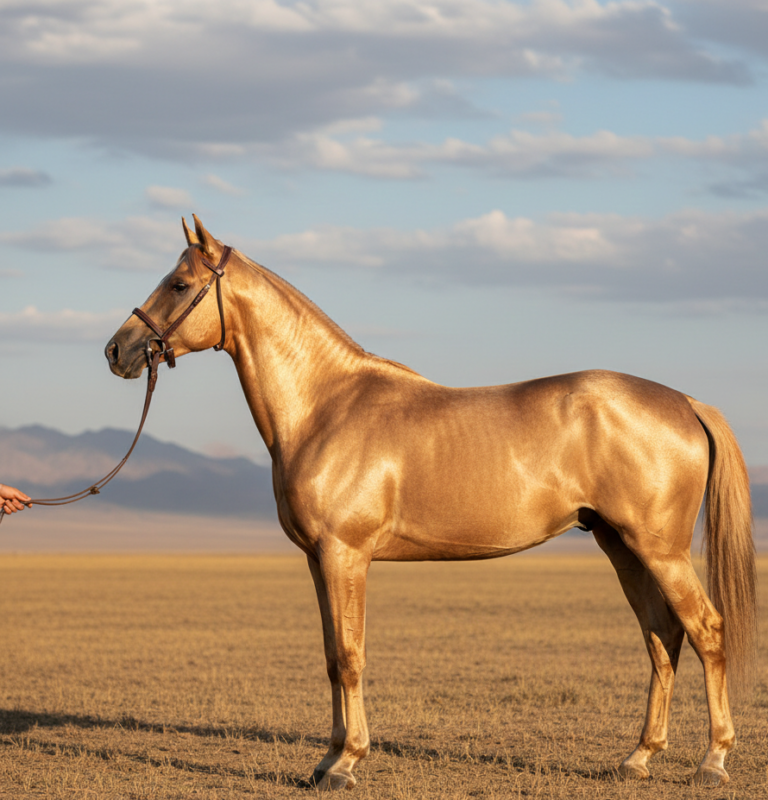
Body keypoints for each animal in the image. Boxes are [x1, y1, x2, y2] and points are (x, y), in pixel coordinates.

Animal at [105, 215, 756, 790]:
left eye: (178, 283)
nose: (118, 350)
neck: (326, 406)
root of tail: (686, 401)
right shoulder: (319, 560)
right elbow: (330, 656)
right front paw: (326, 759)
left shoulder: (345, 555)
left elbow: (350, 655)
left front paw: (346, 764)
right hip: (620, 545)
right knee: (661, 638)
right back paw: (638, 758)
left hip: (659, 549)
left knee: (705, 630)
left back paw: (712, 762)